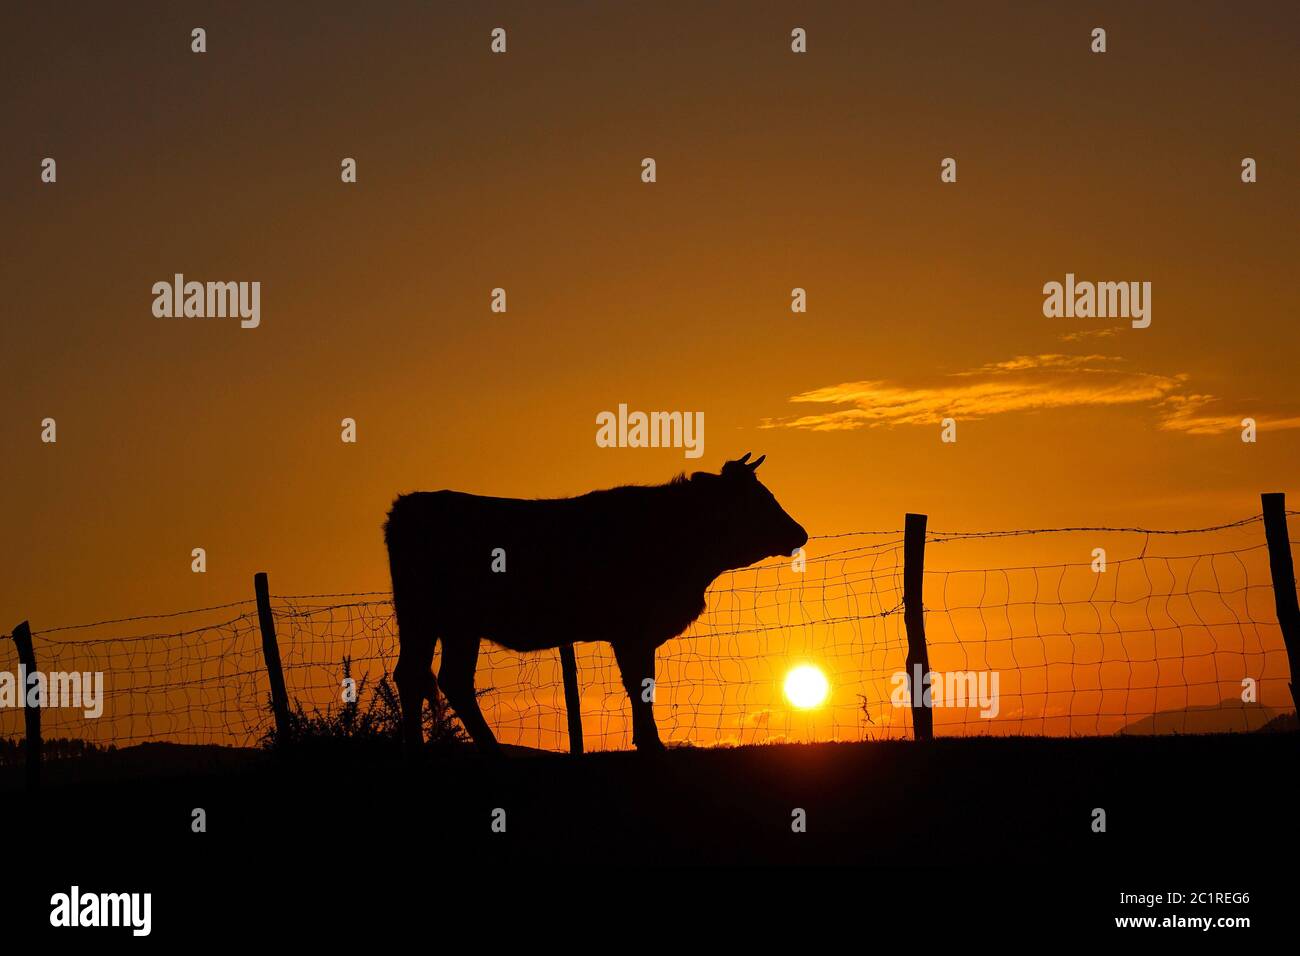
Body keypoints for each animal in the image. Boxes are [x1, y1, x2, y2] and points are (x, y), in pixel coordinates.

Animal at [384, 453, 807, 754]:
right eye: (759, 500)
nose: (800, 533)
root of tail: (407, 506)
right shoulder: (632, 632)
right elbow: (639, 684)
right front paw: (651, 744)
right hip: (435, 618)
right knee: (427, 676)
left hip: (446, 623)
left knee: (433, 677)